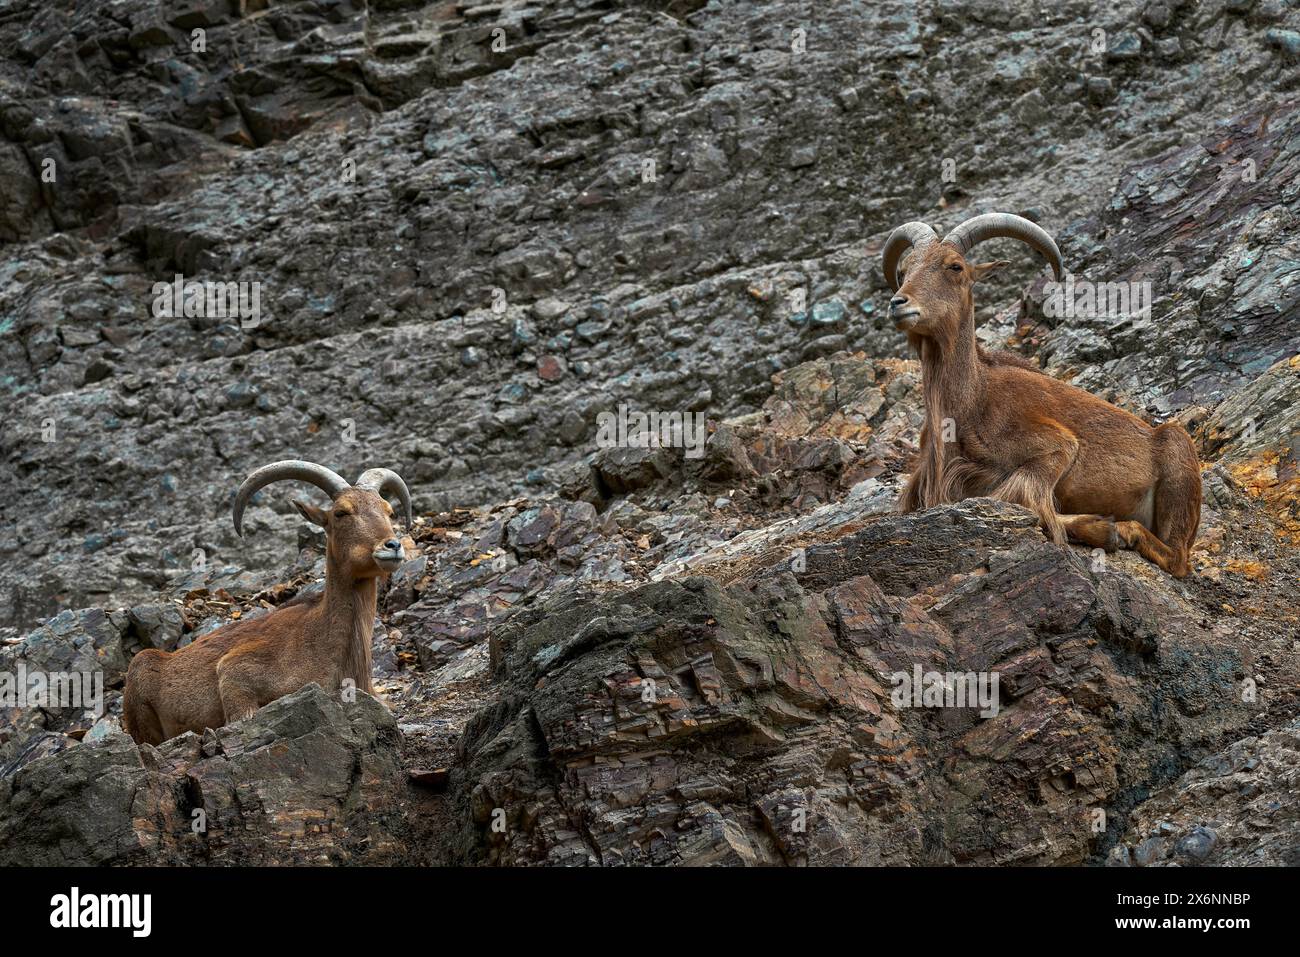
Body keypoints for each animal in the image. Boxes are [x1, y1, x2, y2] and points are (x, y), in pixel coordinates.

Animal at [882, 213, 1201, 576]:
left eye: (955, 266)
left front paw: (1102, 528)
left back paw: (1126, 530)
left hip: (1178, 455)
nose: (898, 303)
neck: (972, 401)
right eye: (906, 270)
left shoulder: (1055, 448)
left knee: (1177, 557)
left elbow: (1024, 500)